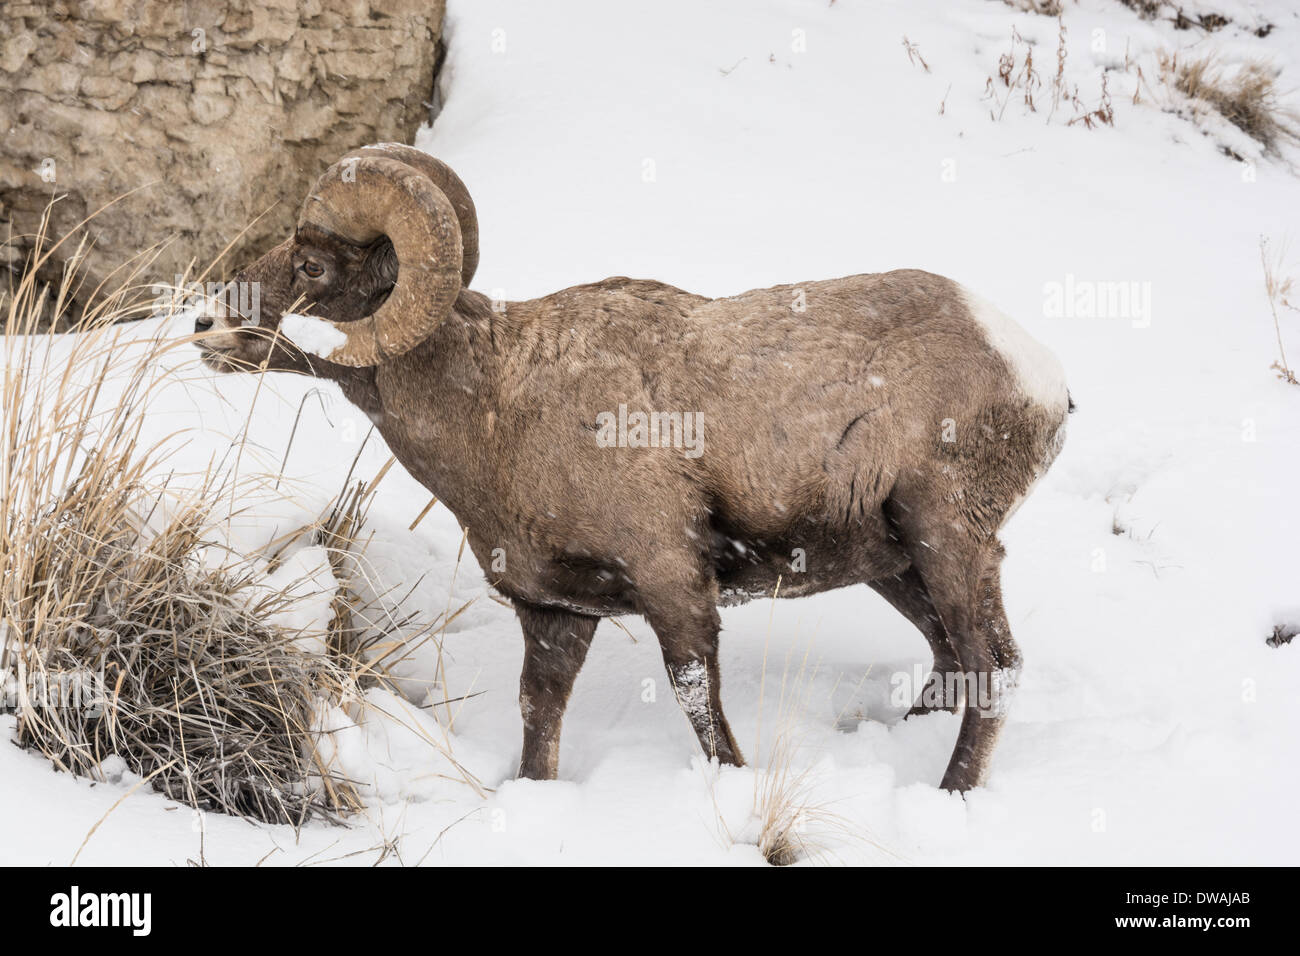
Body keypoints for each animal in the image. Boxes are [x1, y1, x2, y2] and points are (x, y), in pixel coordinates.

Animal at [195, 143, 1071, 792]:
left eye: (312, 267)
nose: (203, 324)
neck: (496, 407)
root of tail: (1037, 372)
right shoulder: (555, 614)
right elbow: (538, 719)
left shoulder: (672, 583)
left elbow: (698, 705)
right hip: (896, 565)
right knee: (949, 662)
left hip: (948, 543)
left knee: (992, 668)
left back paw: (950, 793)